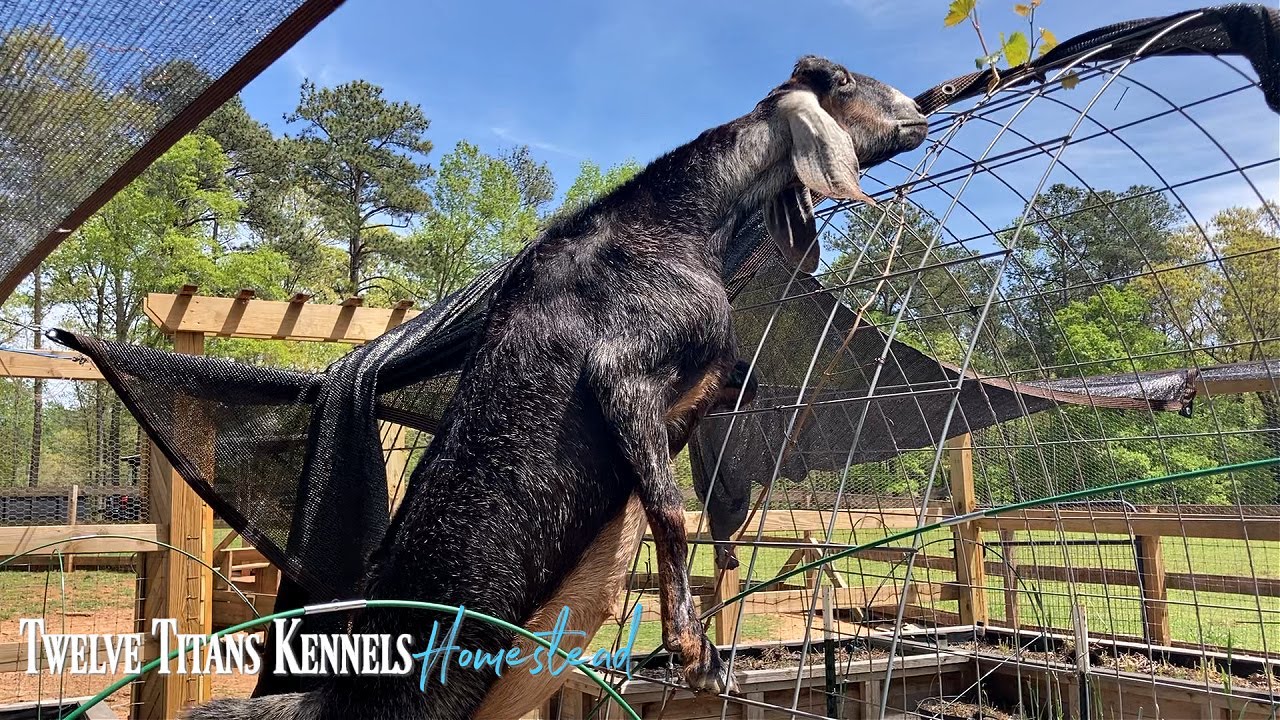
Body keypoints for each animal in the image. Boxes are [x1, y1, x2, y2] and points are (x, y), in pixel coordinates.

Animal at [186, 55, 926, 720]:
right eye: (844, 81)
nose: (916, 114)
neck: (678, 220)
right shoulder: (623, 372)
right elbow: (669, 511)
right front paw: (696, 656)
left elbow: (739, 386)